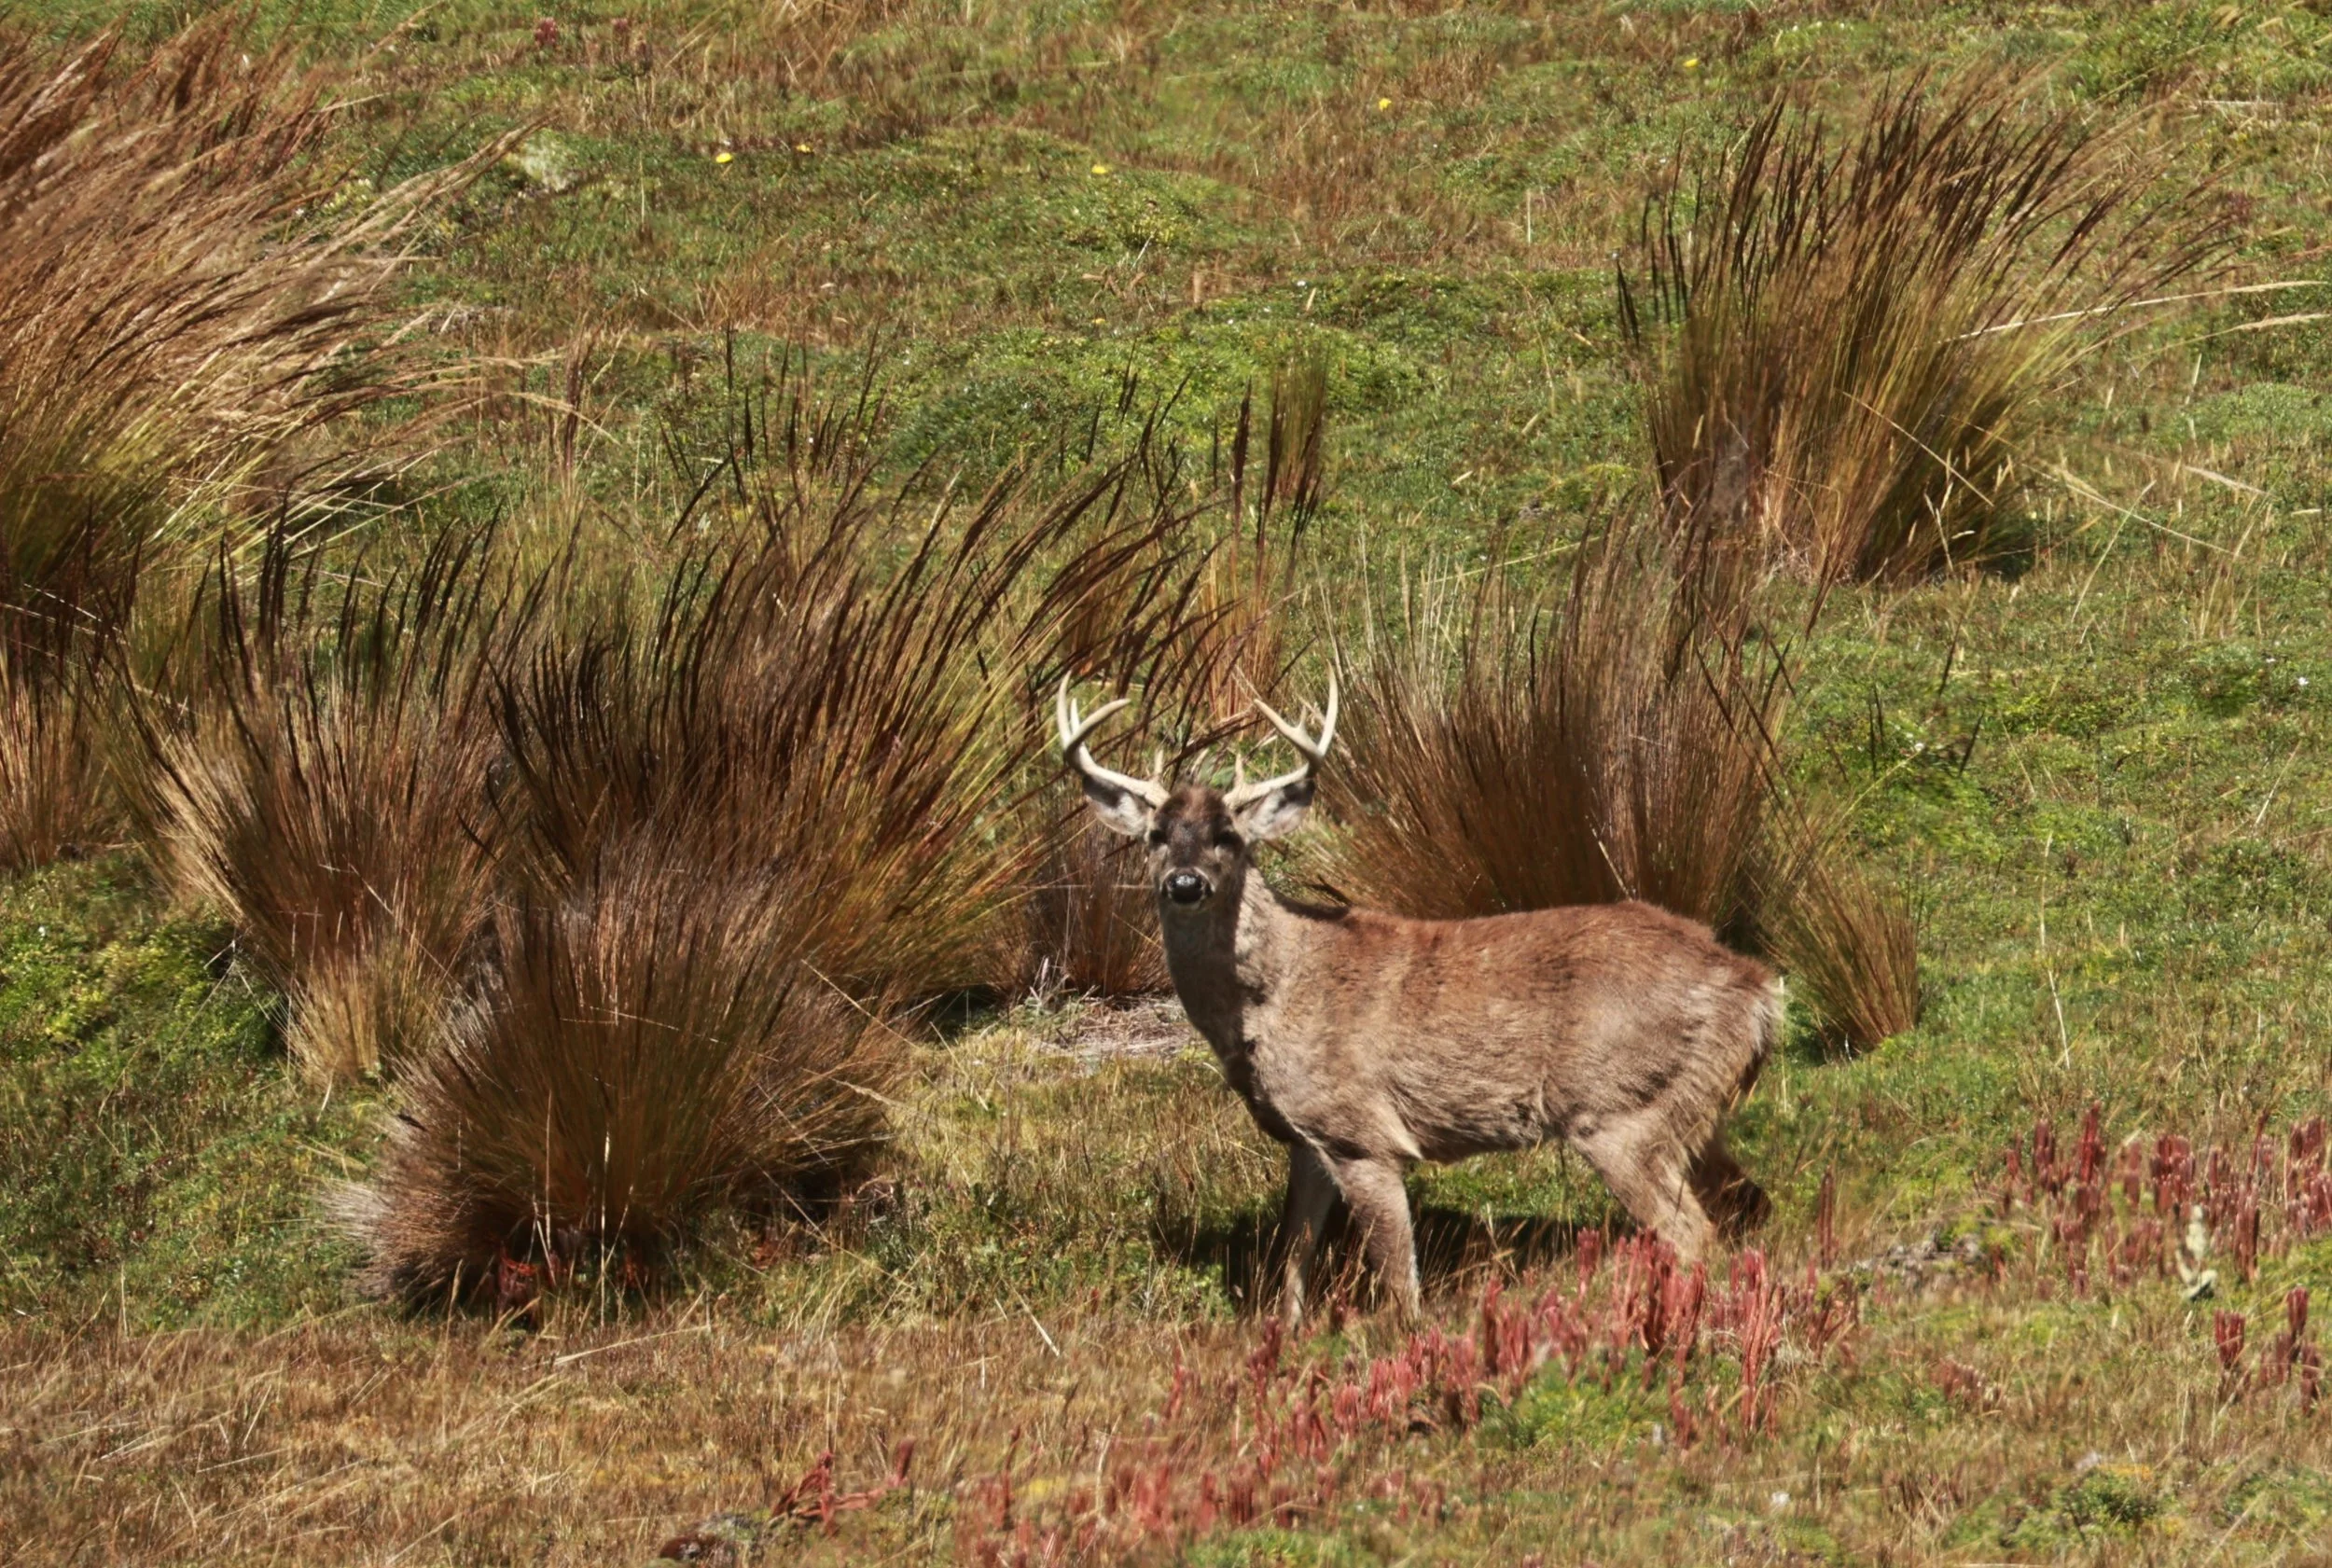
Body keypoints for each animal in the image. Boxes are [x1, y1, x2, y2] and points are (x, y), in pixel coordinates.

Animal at [1056, 675, 1782, 1325]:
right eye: (1156, 835)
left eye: (1226, 837)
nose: (1184, 884)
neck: (1275, 994)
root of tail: (1755, 990)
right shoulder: (1307, 1137)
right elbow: (1293, 1252)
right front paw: (1284, 1335)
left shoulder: (1364, 1133)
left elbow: (1397, 1275)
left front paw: (1398, 1346)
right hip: (1687, 1109)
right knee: (1751, 1206)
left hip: (1620, 1108)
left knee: (1694, 1234)